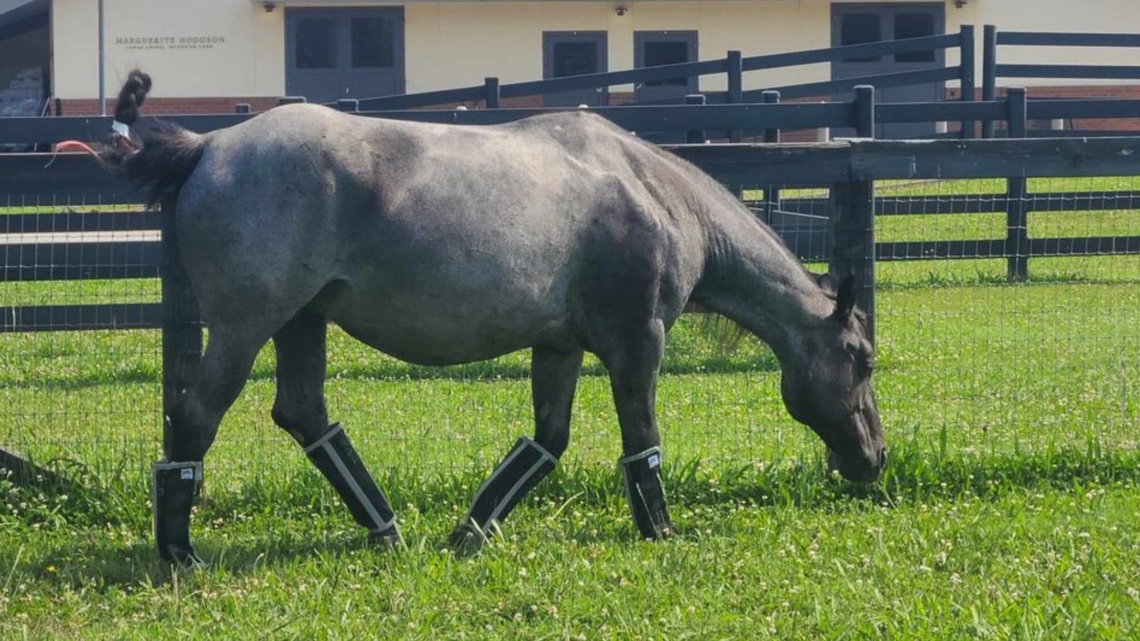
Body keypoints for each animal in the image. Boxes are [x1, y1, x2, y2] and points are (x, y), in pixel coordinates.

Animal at [100, 71, 884, 565]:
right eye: (864, 359)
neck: (652, 192)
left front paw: (472, 529)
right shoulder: (637, 345)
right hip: (244, 330)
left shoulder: (560, 347)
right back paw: (180, 551)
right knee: (194, 417)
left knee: (303, 415)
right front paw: (660, 530)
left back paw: (385, 529)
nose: (873, 459)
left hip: (300, 323)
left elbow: (547, 443)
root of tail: (207, 147)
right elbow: (643, 445)